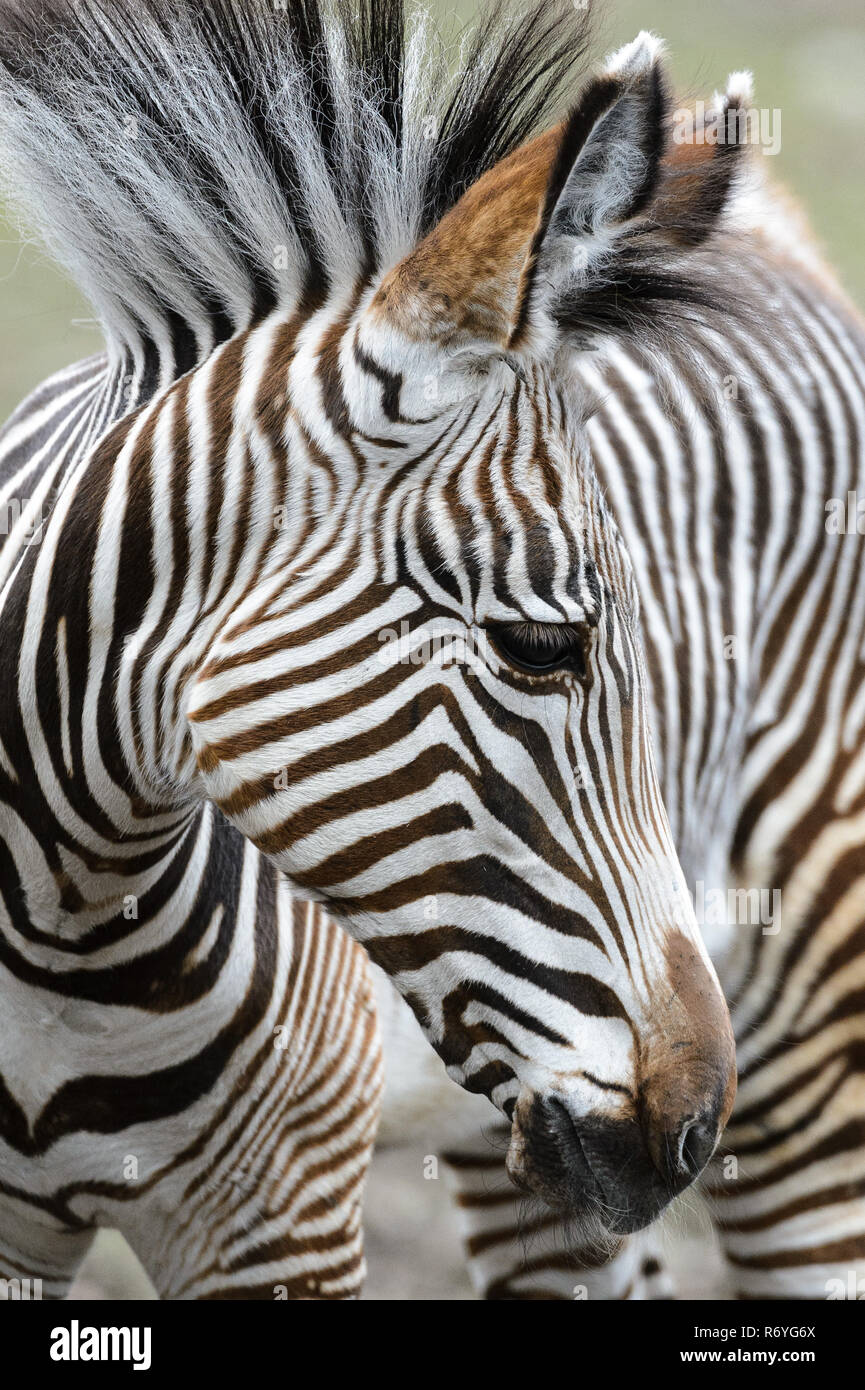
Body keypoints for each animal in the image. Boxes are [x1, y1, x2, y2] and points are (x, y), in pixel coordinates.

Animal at [0, 0, 862, 1304]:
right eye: (541, 644)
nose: (691, 1126)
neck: (56, 927)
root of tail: (771, 237)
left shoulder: (280, 1210)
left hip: (810, 1025)